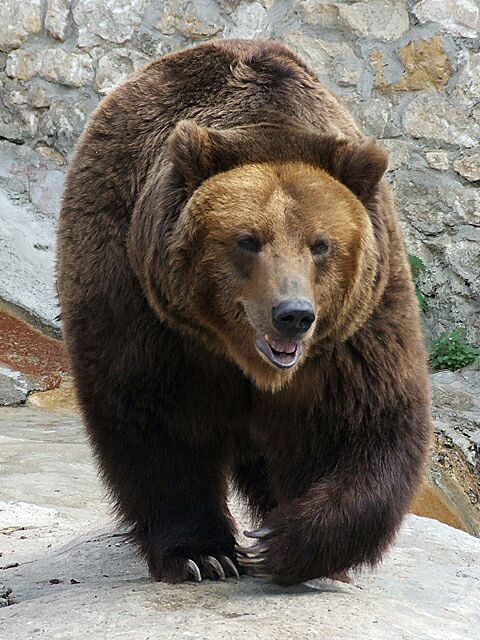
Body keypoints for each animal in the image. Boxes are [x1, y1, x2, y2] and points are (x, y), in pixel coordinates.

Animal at [57, 38, 432, 586]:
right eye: (248, 240)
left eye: (321, 244)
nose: (292, 314)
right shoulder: (145, 309)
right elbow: (155, 418)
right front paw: (201, 554)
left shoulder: (356, 329)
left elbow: (367, 422)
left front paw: (287, 542)